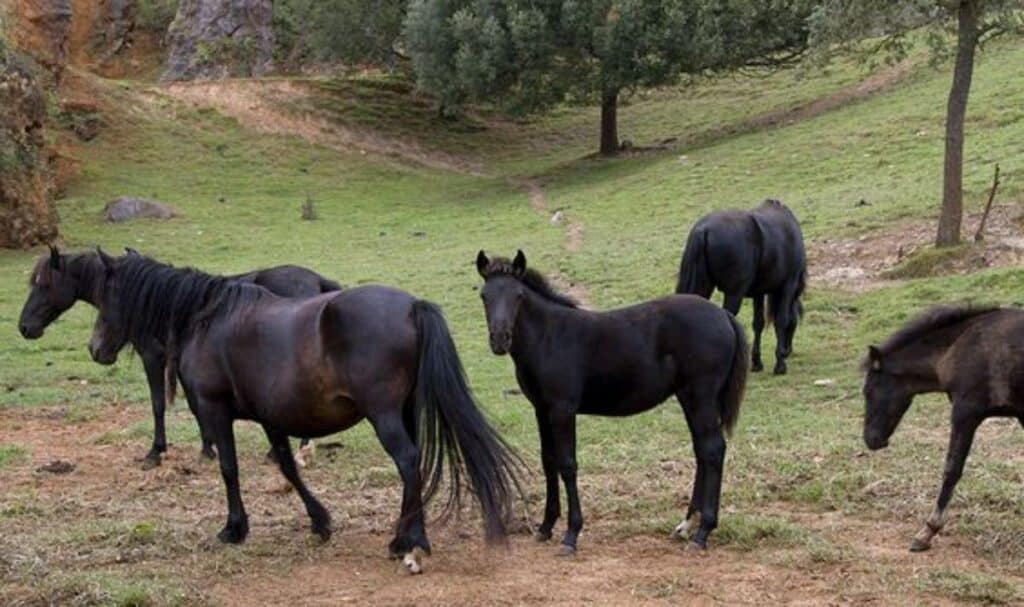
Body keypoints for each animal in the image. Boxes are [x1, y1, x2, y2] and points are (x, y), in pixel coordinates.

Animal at [18, 246, 341, 468]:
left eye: (44, 285)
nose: (24, 327)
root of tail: (317, 280)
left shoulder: (153, 358)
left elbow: (158, 404)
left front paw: (155, 451)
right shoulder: (182, 363)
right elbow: (194, 405)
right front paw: (207, 448)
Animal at [89, 252, 521, 572]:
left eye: (106, 298)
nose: (95, 348)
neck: (207, 318)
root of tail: (412, 306)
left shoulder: (215, 412)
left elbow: (229, 469)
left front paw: (234, 528)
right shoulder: (271, 419)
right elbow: (288, 467)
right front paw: (320, 521)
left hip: (384, 415)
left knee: (407, 460)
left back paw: (407, 542)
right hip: (406, 411)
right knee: (413, 468)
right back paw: (410, 536)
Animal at [476, 250, 748, 554]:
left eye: (519, 295)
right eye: (484, 296)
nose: (500, 339)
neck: (549, 337)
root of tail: (724, 315)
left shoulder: (562, 409)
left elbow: (567, 464)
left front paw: (571, 534)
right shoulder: (541, 410)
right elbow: (549, 461)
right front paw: (545, 527)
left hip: (701, 395)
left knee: (713, 450)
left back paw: (703, 532)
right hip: (689, 397)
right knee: (702, 450)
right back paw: (686, 525)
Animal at [676, 198, 806, 375]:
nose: (788, 351)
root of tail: (703, 230)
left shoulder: (759, 293)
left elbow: (758, 323)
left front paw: (757, 362)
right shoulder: (788, 286)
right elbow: (782, 320)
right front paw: (780, 364)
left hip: (701, 290)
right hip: (734, 294)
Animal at [863, 305, 1024, 553]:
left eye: (868, 391)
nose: (870, 439)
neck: (960, 345)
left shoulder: (965, 413)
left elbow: (951, 469)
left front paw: (927, 532)